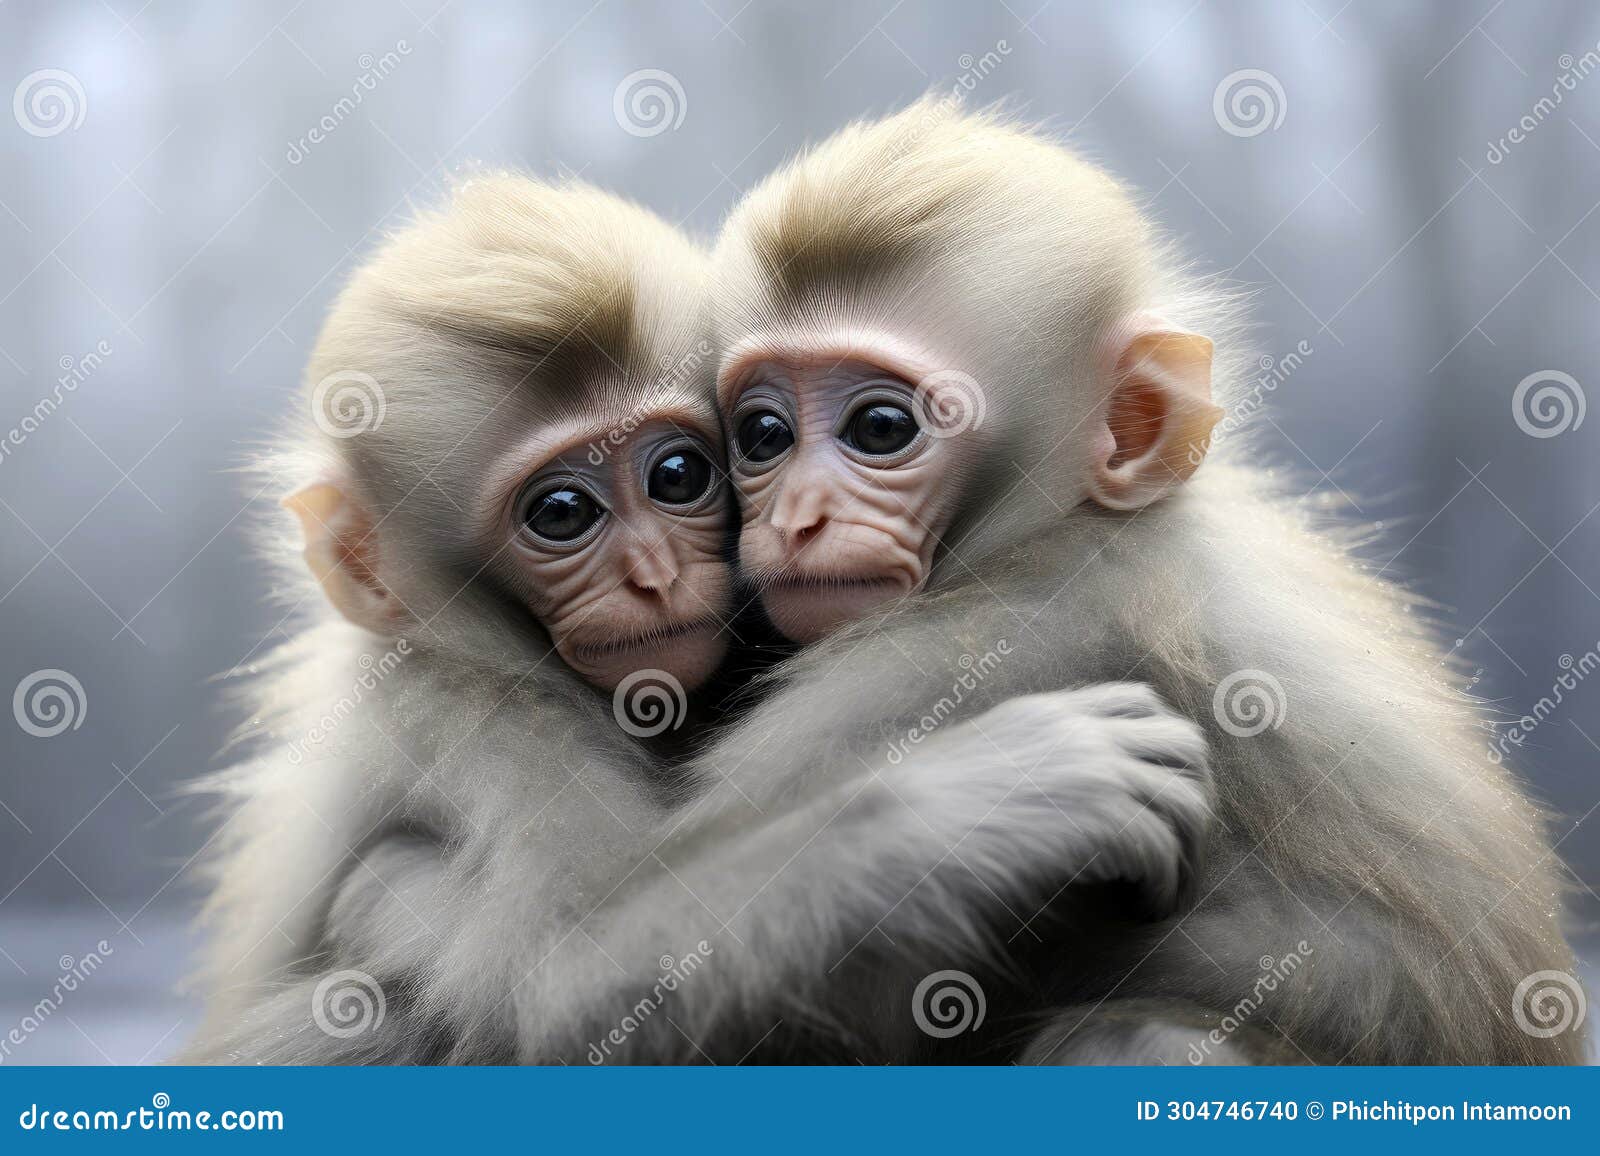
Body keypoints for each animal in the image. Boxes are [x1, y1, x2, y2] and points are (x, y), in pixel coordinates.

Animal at [182, 171, 1216, 1064]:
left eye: (679, 475)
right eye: (561, 513)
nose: (653, 575)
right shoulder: (471, 711)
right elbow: (560, 987)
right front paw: (977, 795)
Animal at [684, 97, 1586, 1065]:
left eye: (881, 428)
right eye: (765, 436)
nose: (797, 518)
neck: (1074, 520)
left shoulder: (978, 648)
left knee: (1133, 1040)